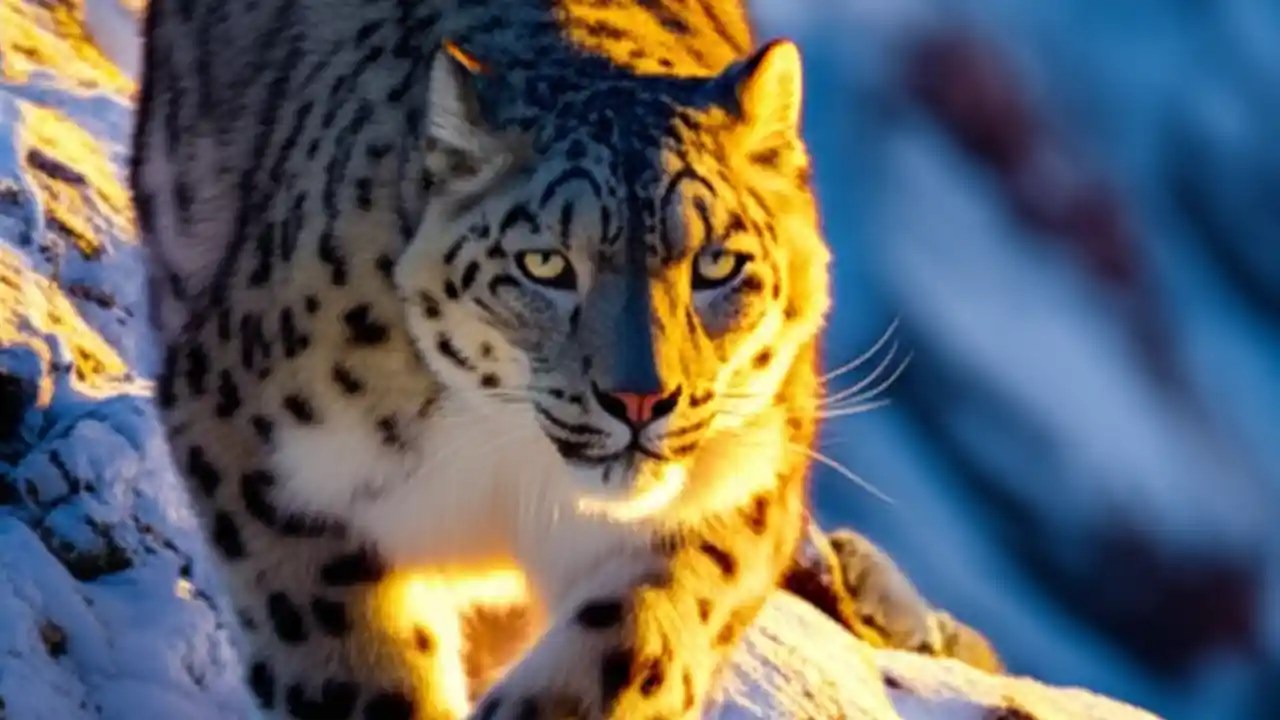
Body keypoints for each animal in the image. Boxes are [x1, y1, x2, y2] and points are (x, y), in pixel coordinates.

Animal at [129, 1, 1000, 718]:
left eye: (717, 264)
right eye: (545, 263)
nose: (641, 401)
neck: (507, 480)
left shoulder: (735, 493)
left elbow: (640, 645)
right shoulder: (260, 449)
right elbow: (341, 652)